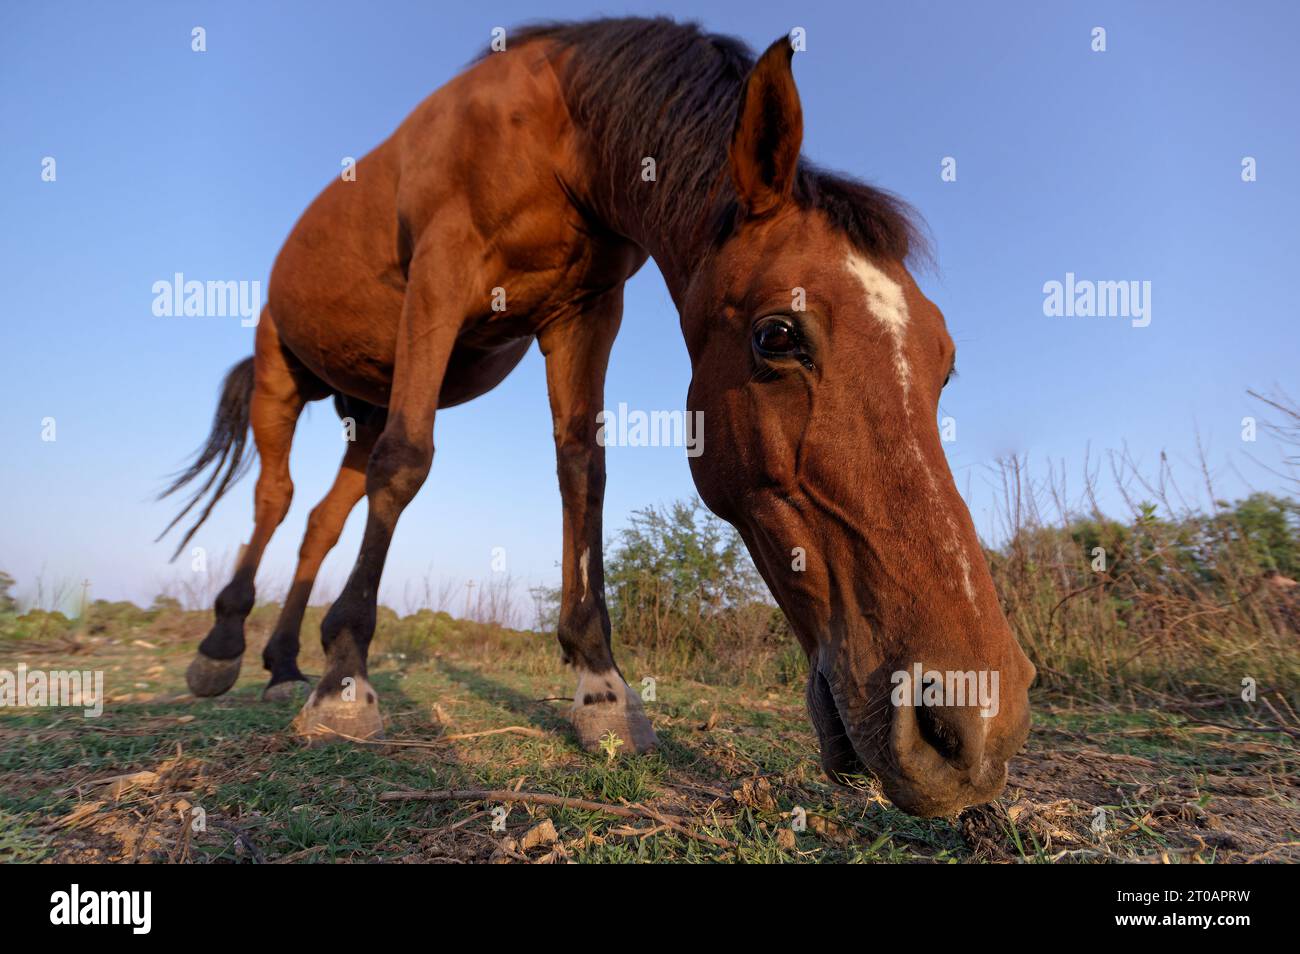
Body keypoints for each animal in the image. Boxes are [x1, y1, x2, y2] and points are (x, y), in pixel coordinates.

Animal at [163, 17, 1035, 817]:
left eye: (945, 363)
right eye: (778, 336)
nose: (974, 724)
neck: (557, 134)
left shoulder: (583, 315)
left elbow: (582, 473)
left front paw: (602, 689)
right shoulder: (440, 276)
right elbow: (409, 463)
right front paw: (347, 682)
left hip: (365, 402)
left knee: (319, 519)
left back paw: (281, 668)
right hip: (283, 370)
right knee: (276, 498)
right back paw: (226, 650)